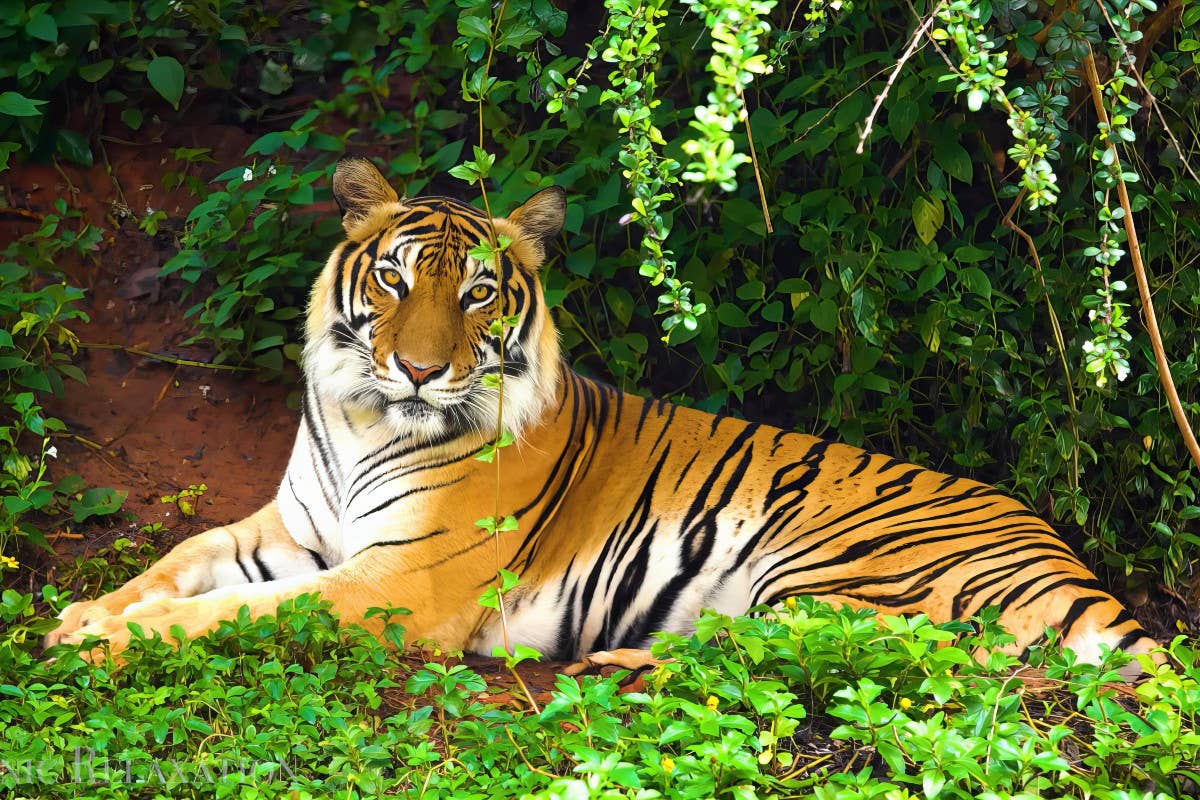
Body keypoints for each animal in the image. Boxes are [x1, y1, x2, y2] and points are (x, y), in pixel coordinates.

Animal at [46, 157, 1157, 671]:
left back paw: (613, 661)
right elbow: (185, 555)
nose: (417, 369)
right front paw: (87, 611)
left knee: (815, 649)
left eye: (479, 294)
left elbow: (237, 611)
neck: (368, 419)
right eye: (395, 278)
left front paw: (108, 639)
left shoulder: (400, 581)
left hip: (838, 565)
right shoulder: (296, 525)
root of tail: (1072, 561)